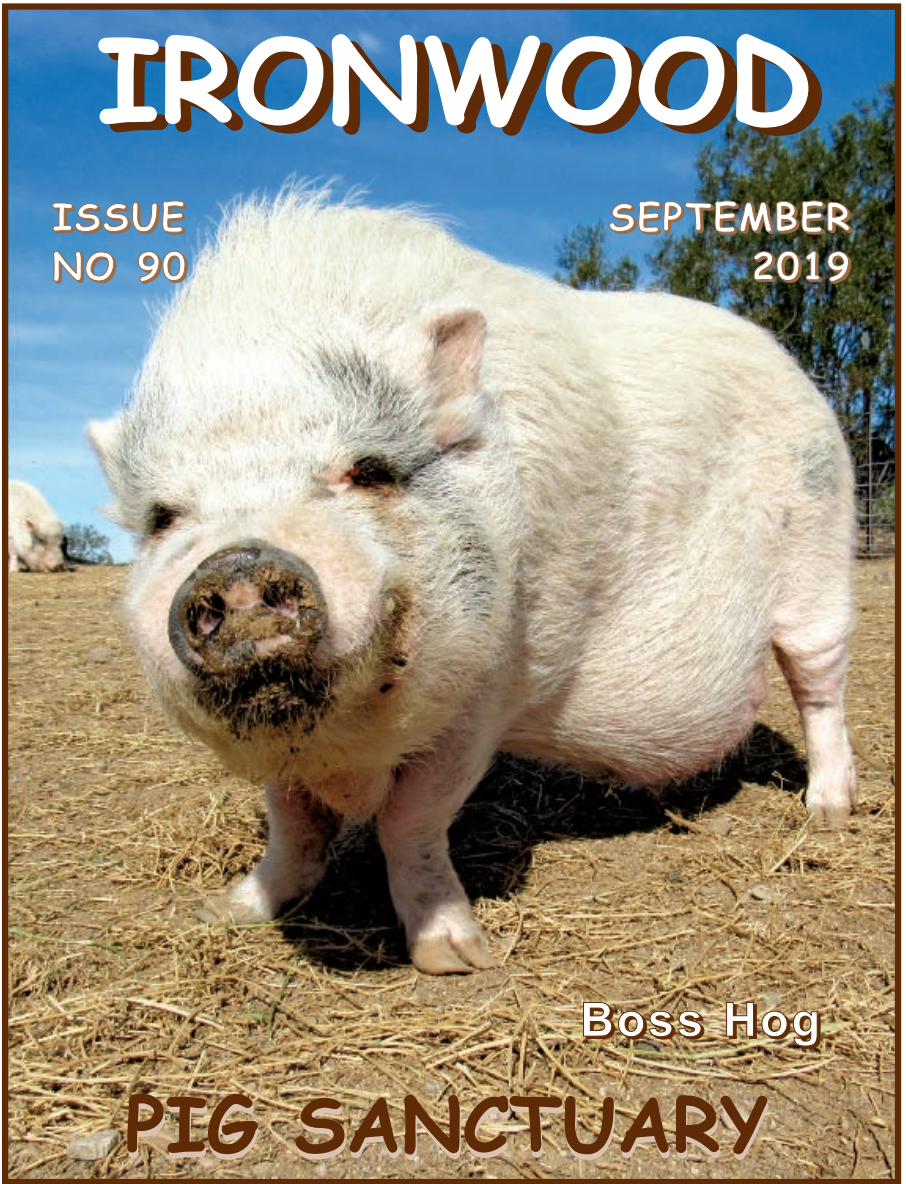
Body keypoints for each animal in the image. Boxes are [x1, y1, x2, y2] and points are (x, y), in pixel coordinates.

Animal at [88, 190, 857, 974]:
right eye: (164, 517)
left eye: (368, 471)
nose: (240, 565)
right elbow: (292, 823)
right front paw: (227, 911)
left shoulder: (488, 685)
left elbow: (410, 822)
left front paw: (455, 958)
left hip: (821, 554)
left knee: (819, 685)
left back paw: (829, 812)